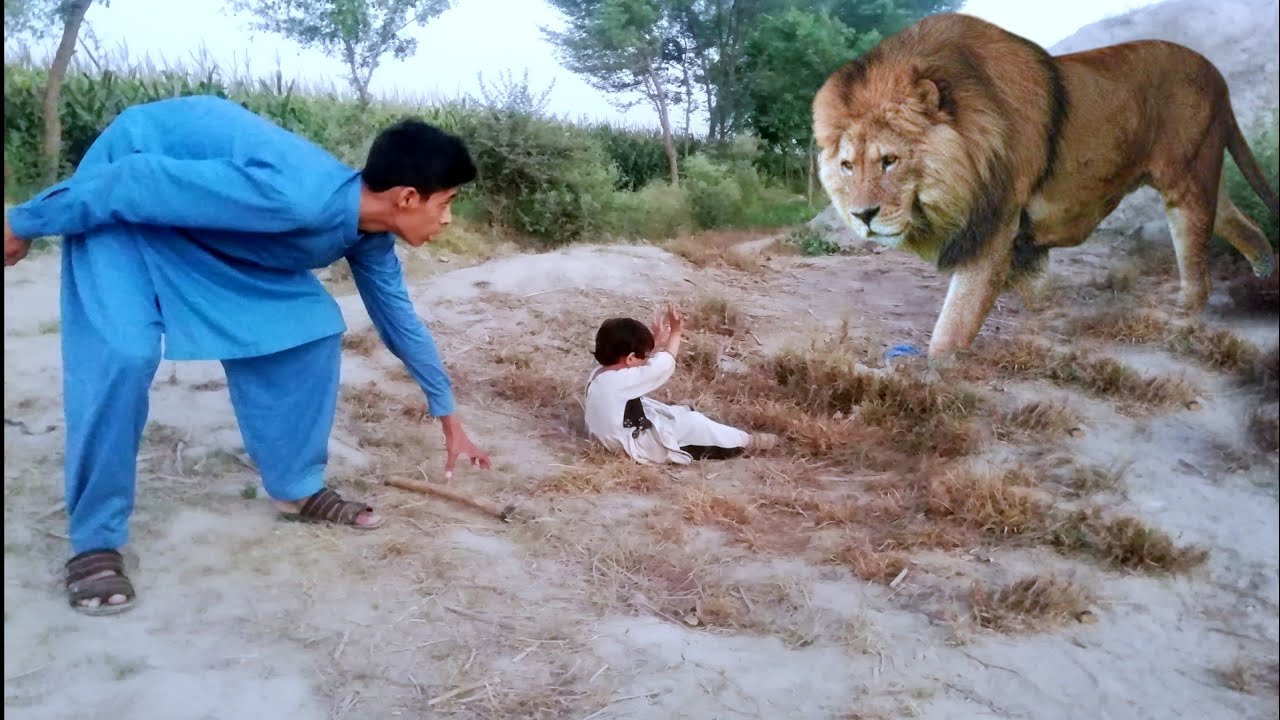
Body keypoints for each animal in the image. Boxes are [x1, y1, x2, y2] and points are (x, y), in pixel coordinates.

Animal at [812, 12, 1279, 360]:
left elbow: (956, 321)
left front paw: (933, 376)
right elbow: (1035, 292)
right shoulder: (1021, 237)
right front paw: (1048, 330)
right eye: (848, 166)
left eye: (889, 161)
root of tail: (1215, 73)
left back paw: (1183, 316)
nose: (862, 216)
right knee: (1238, 222)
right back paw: (1265, 274)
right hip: (1203, 174)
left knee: (1196, 257)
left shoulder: (994, 227)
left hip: (1186, 180)